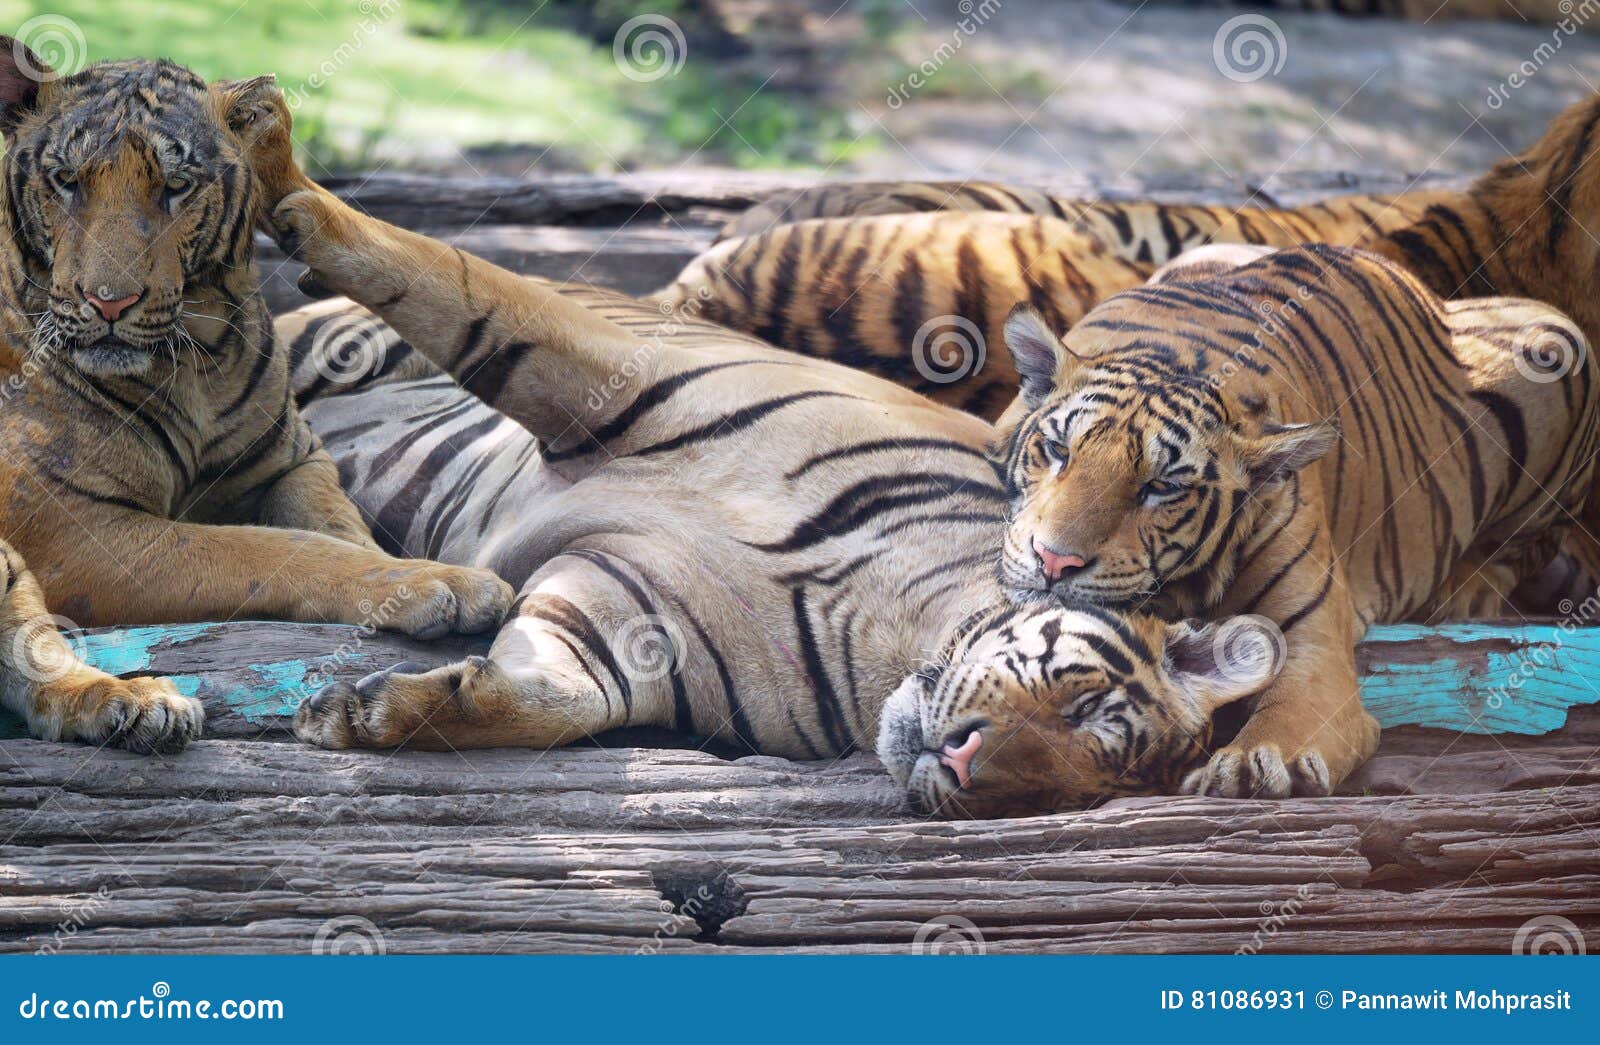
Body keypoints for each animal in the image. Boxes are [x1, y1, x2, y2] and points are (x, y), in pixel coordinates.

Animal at [0, 42, 511, 752]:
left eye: (176, 187)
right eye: (66, 181)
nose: (110, 303)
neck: (195, 361)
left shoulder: (293, 462)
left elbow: (339, 530)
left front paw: (415, 576)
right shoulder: (76, 530)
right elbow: (271, 549)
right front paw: (437, 582)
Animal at [241, 85, 1290, 819]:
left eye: (1085, 777)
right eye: (1086, 706)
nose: (969, 770)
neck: (888, 622)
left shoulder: (622, 610)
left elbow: (553, 698)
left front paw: (372, 712)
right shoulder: (611, 374)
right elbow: (450, 277)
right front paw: (286, 179)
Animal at [992, 241, 1600, 797]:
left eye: (1160, 487)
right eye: (1057, 450)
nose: (1054, 561)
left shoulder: (1311, 647)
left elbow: (1291, 710)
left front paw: (1254, 763)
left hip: (1554, 344)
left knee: (1530, 541)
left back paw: (1464, 593)